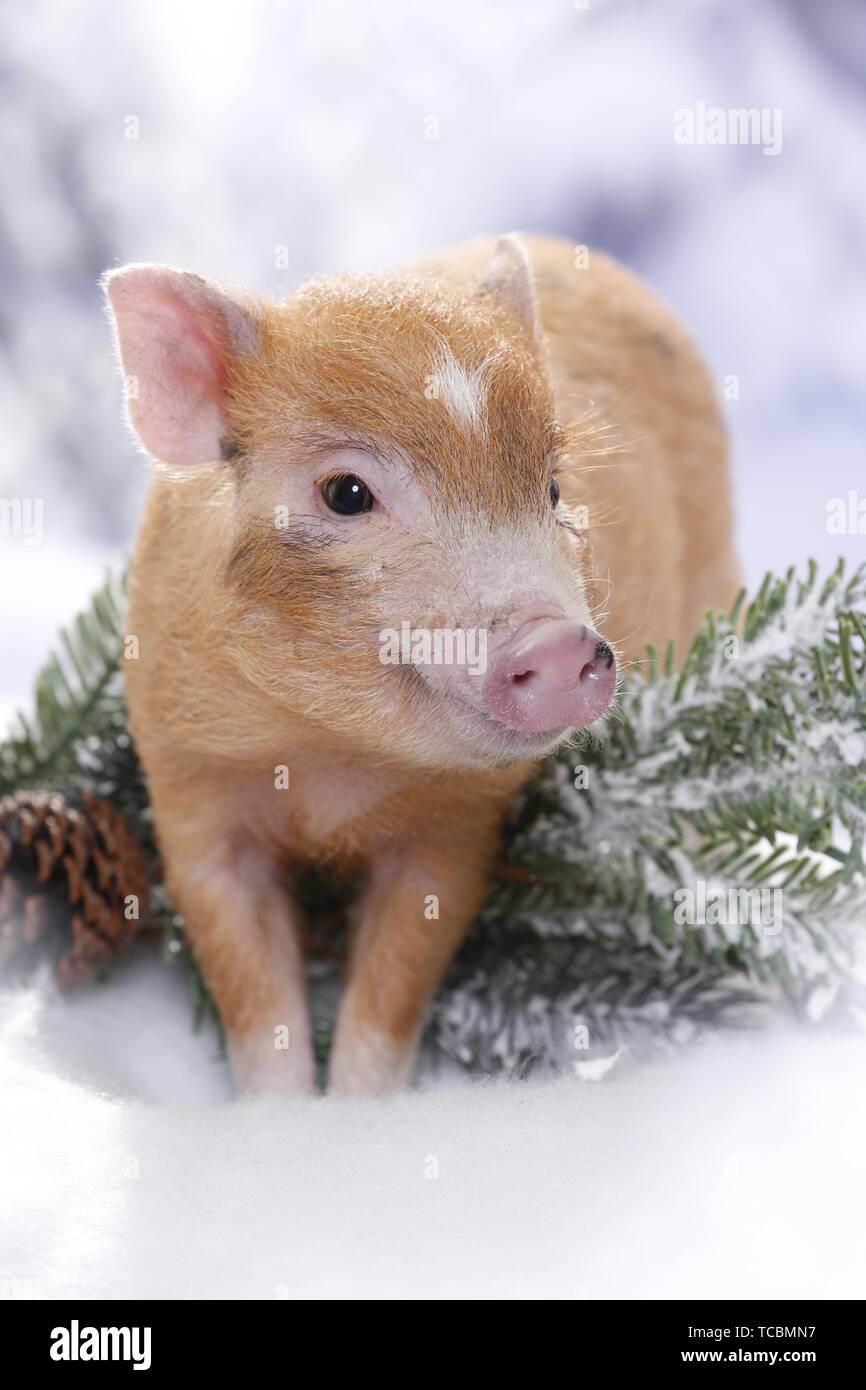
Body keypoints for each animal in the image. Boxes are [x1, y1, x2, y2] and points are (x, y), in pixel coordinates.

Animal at [103, 234, 739, 1096]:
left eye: (552, 489)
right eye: (346, 492)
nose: (560, 643)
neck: (325, 761)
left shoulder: (454, 830)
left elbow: (389, 996)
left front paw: (363, 1110)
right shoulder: (188, 787)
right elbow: (256, 1002)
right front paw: (277, 1114)